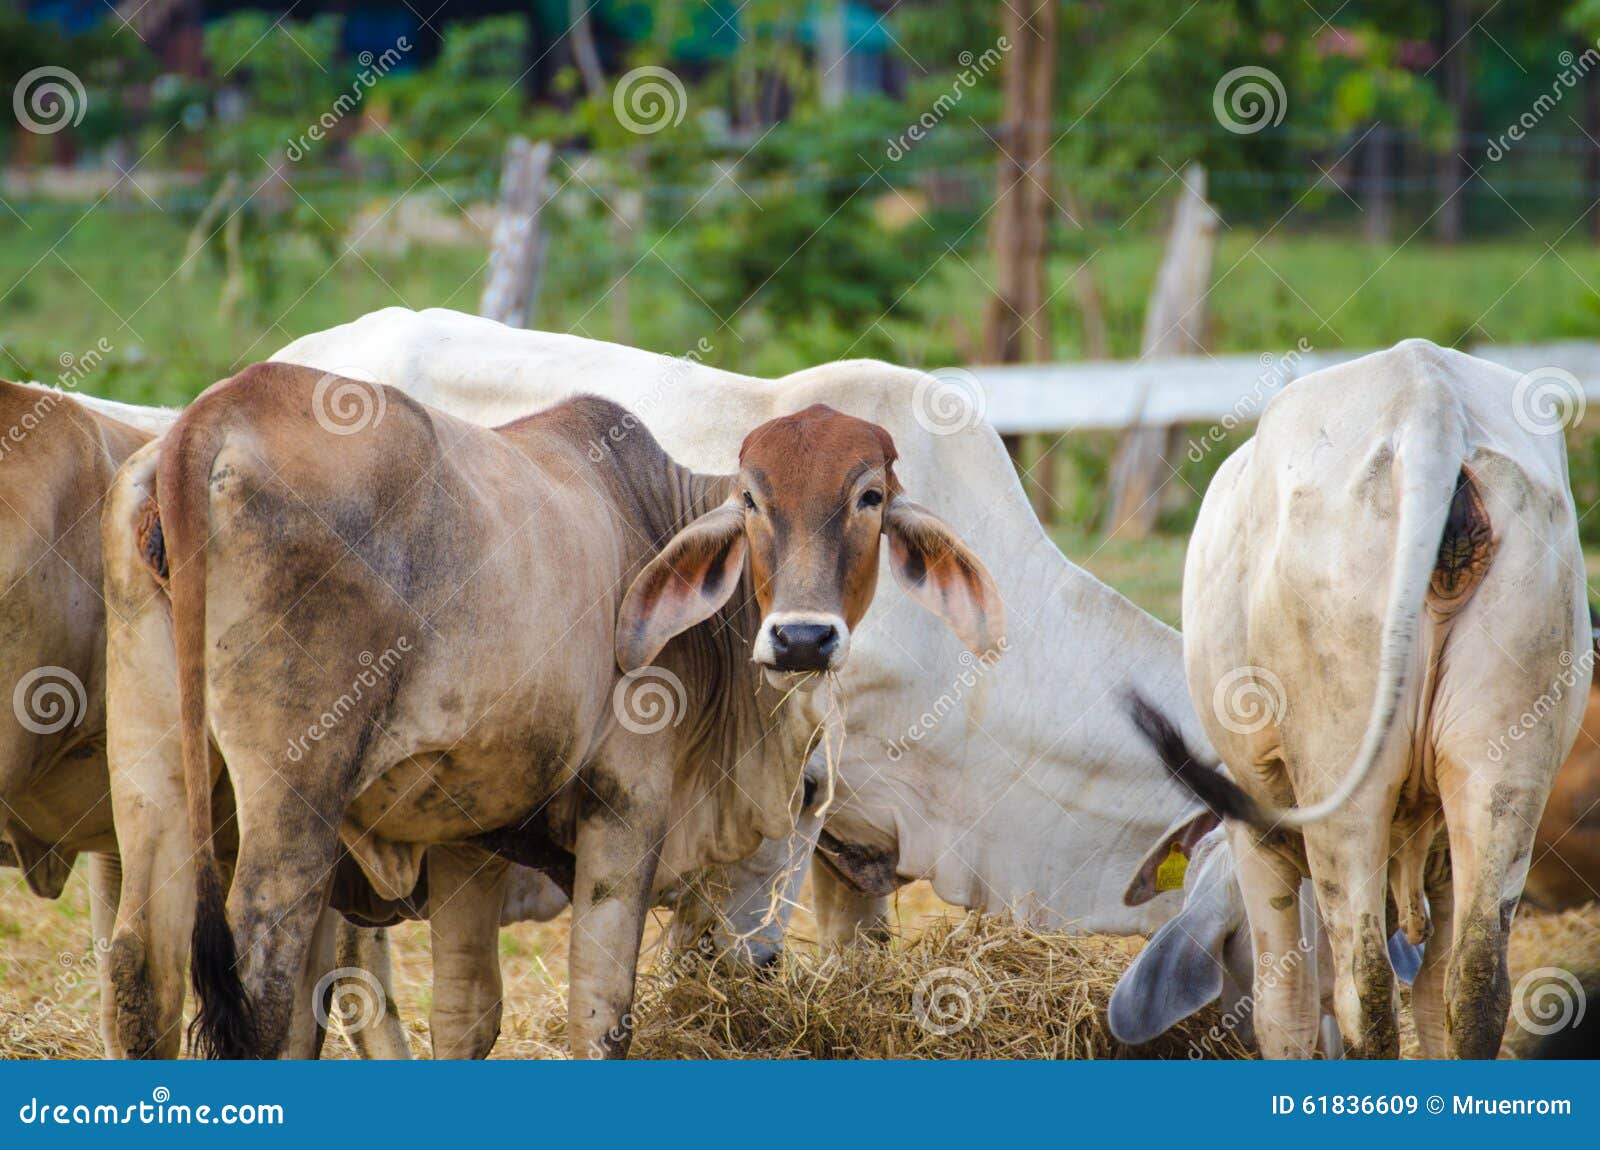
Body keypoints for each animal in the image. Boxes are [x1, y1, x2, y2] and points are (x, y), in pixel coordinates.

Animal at [146, 363, 1000, 1059]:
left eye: (870, 497)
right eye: (753, 499)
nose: (801, 637)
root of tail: (222, 408)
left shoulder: (466, 835)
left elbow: (465, 1016)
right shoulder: (625, 811)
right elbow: (601, 1017)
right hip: (295, 801)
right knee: (263, 991)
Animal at [1126, 339, 1588, 1059]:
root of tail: (1426, 394)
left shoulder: (1253, 837)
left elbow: (1284, 1012)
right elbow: (1430, 998)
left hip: (1342, 777)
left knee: (1362, 990)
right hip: (1504, 766)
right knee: (1476, 986)